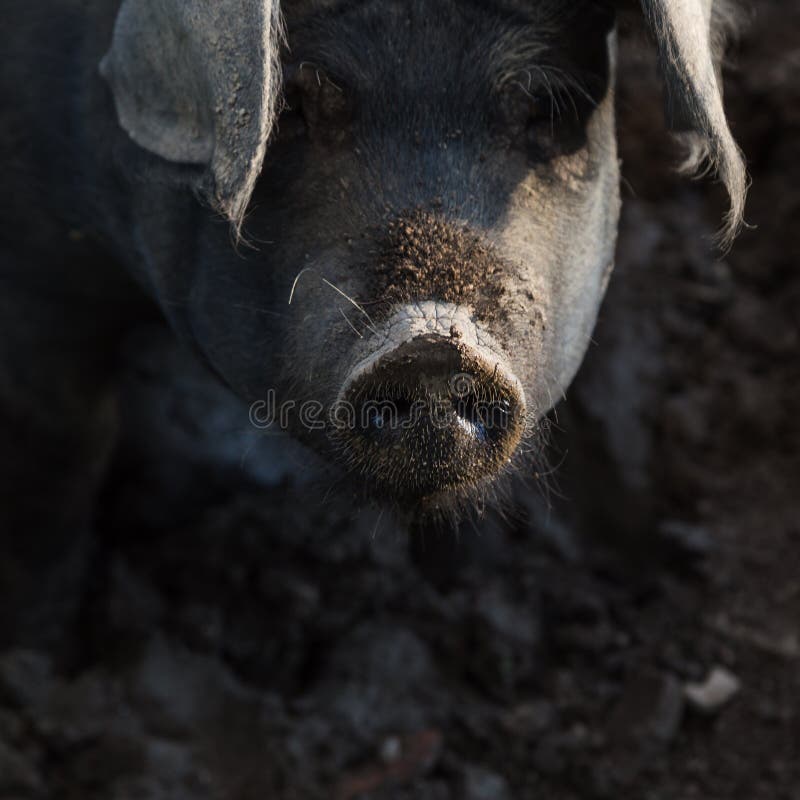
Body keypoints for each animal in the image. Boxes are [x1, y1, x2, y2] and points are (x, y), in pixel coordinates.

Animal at [0, 0, 745, 645]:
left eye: (545, 106)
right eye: (290, 105)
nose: (434, 344)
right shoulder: (38, 271)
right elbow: (60, 447)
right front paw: (44, 652)